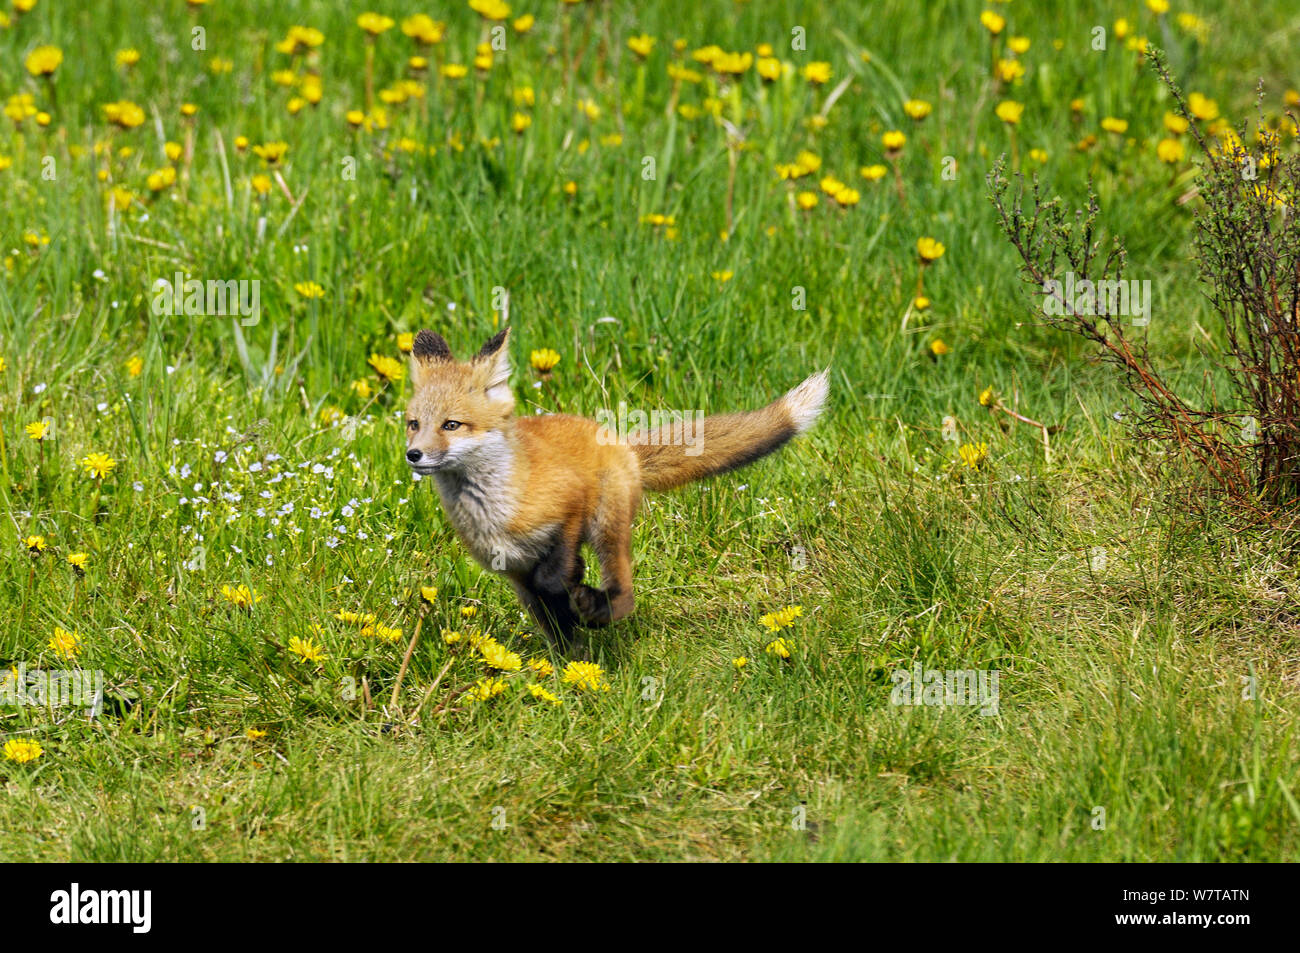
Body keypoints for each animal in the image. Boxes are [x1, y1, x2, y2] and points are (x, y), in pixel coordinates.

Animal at [404, 327, 829, 646]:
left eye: (451, 425)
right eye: (413, 424)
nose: (413, 455)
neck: (494, 512)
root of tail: (618, 441)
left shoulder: (570, 505)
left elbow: (555, 576)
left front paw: (578, 594)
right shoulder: (515, 573)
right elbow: (555, 625)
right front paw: (569, 666)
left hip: (608, 525)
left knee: (624, 593)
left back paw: (600, 607)